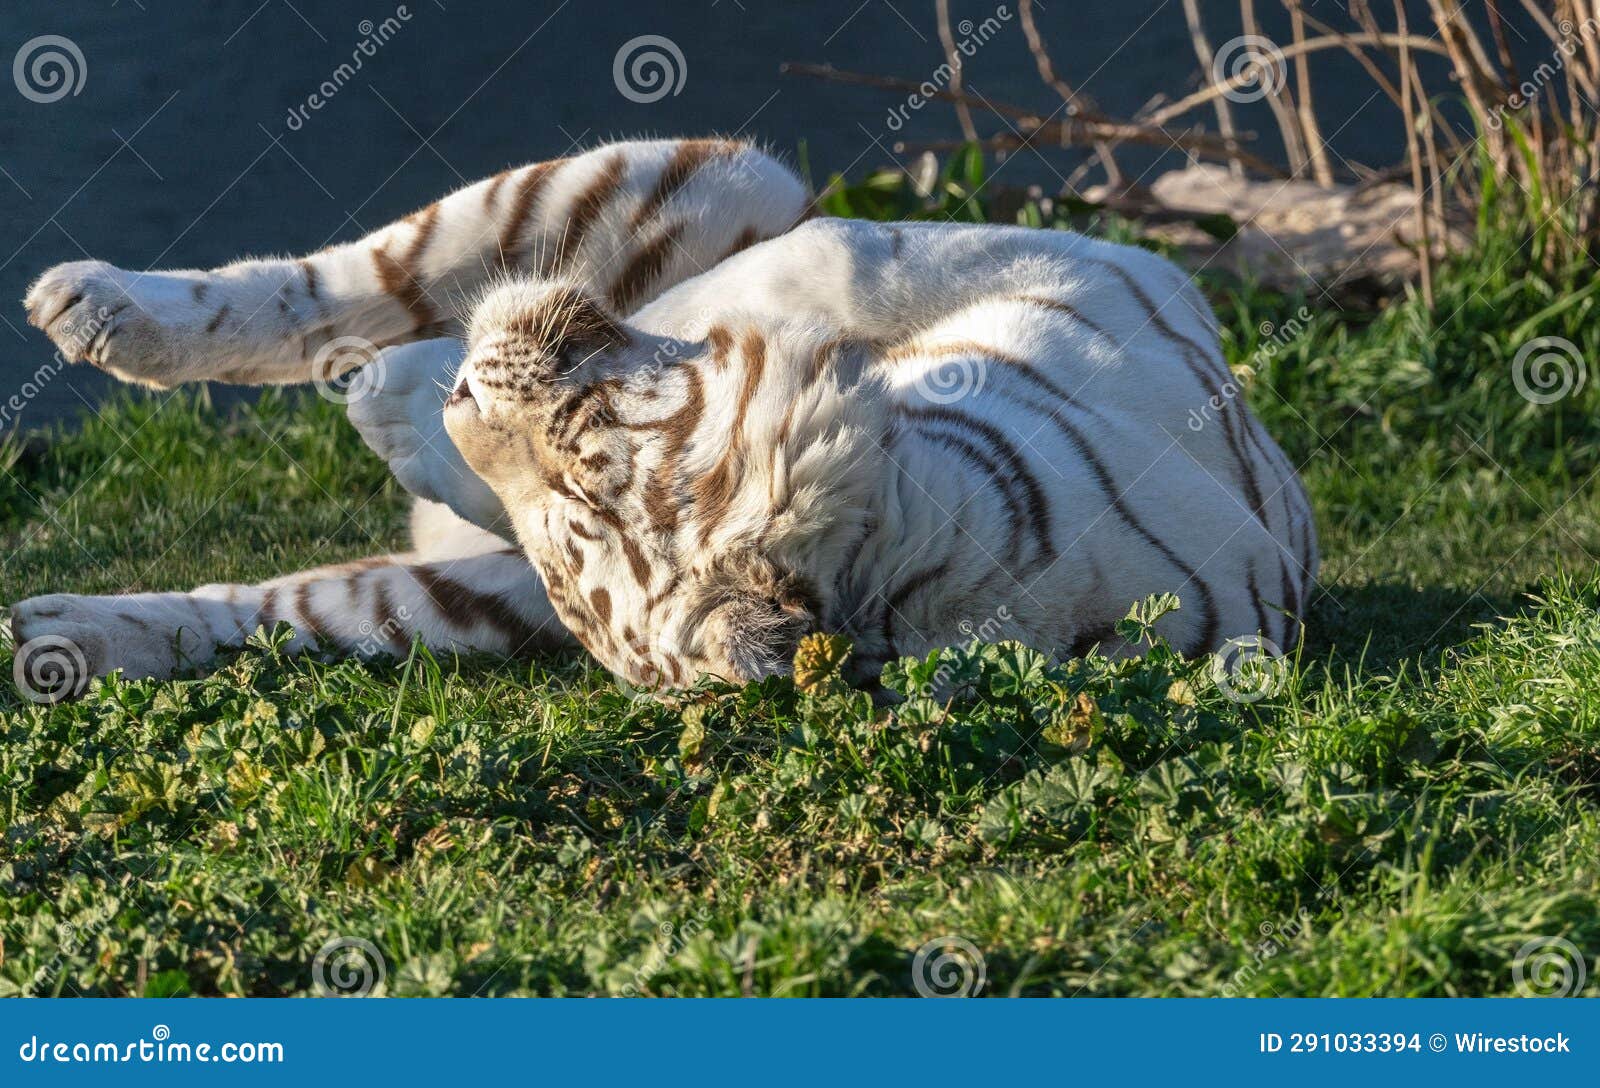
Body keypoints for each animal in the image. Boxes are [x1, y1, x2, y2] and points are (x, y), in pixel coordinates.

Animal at [7, 137, 1316, 698]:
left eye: (576, 490)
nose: (468, 387)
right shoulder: (995, 267)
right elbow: (802, 286)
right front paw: (414, 391)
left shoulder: (518, 584)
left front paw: (406, 408)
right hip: (702, 173)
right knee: (341, 282)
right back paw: (97, 305)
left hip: (463, 600)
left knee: (303, 605)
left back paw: (56, 632)